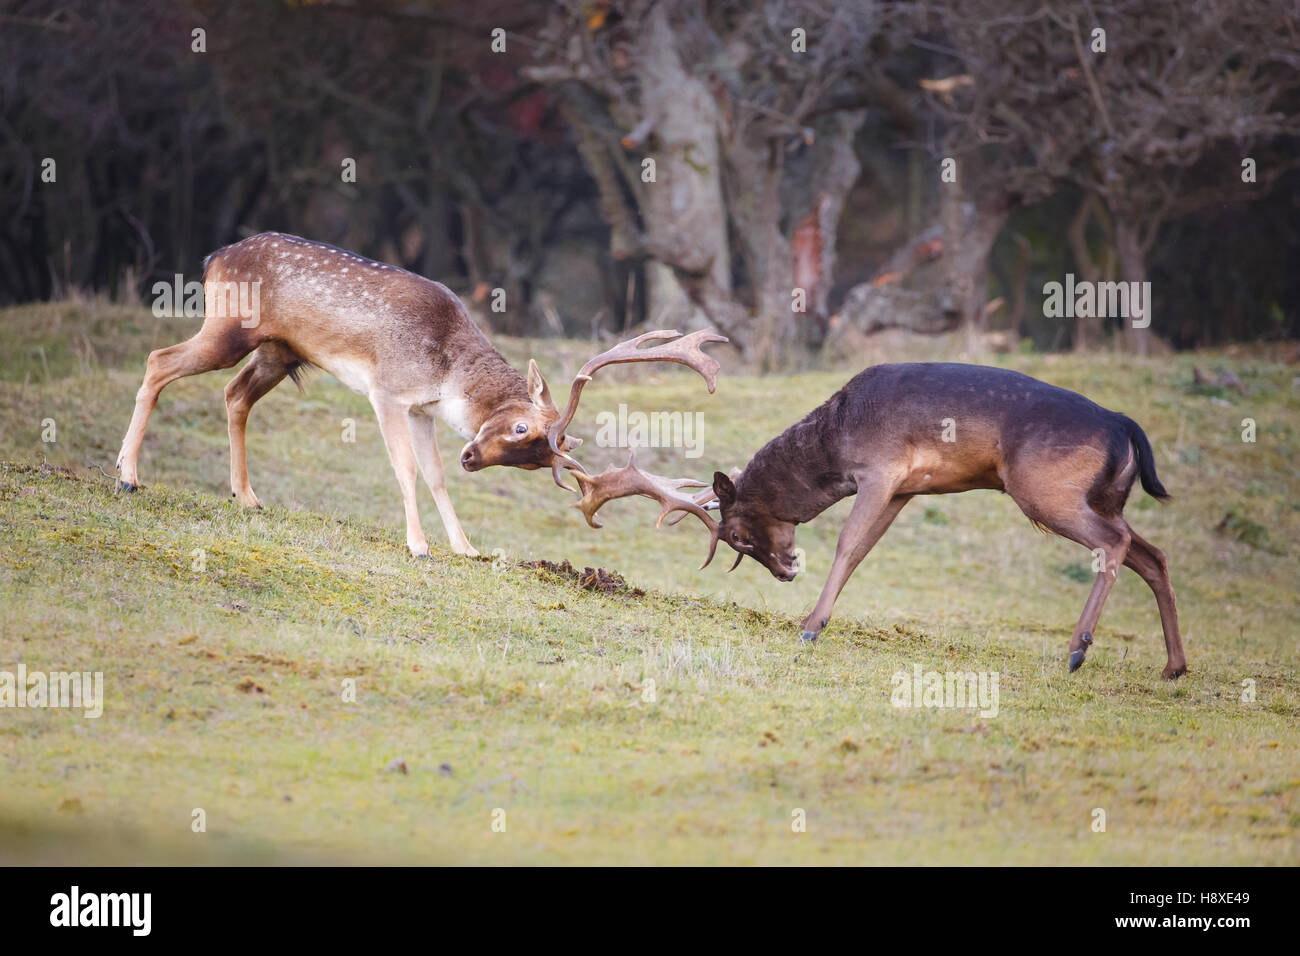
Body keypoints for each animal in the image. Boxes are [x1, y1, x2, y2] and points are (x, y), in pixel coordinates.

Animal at [114, 231, 724, 559]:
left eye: (533, 462)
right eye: (521, 428)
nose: (473, 456)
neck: (445, 368)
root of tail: (214, 257)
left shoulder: (422, 410)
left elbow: (434, 475)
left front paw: (466, 547)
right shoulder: (387, 390)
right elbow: (405, 469)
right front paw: (419, 545)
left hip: (278, 351)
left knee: (234, 394)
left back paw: (247, 496)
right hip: (229, 325)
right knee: (158, 361)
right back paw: (128, 476)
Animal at [574, 362, 1186, 680]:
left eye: (737, 535)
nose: (785, 570)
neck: (835, 444)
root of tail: (1126, 427)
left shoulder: (880, 468)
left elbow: (847, 543)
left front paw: (810, 626)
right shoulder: (905, 488)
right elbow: (864, 550)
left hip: (1046, 489)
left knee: (1115, 543)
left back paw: (1078, 649)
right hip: (1103, 496)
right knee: (1153, 554)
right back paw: (1174, 666)